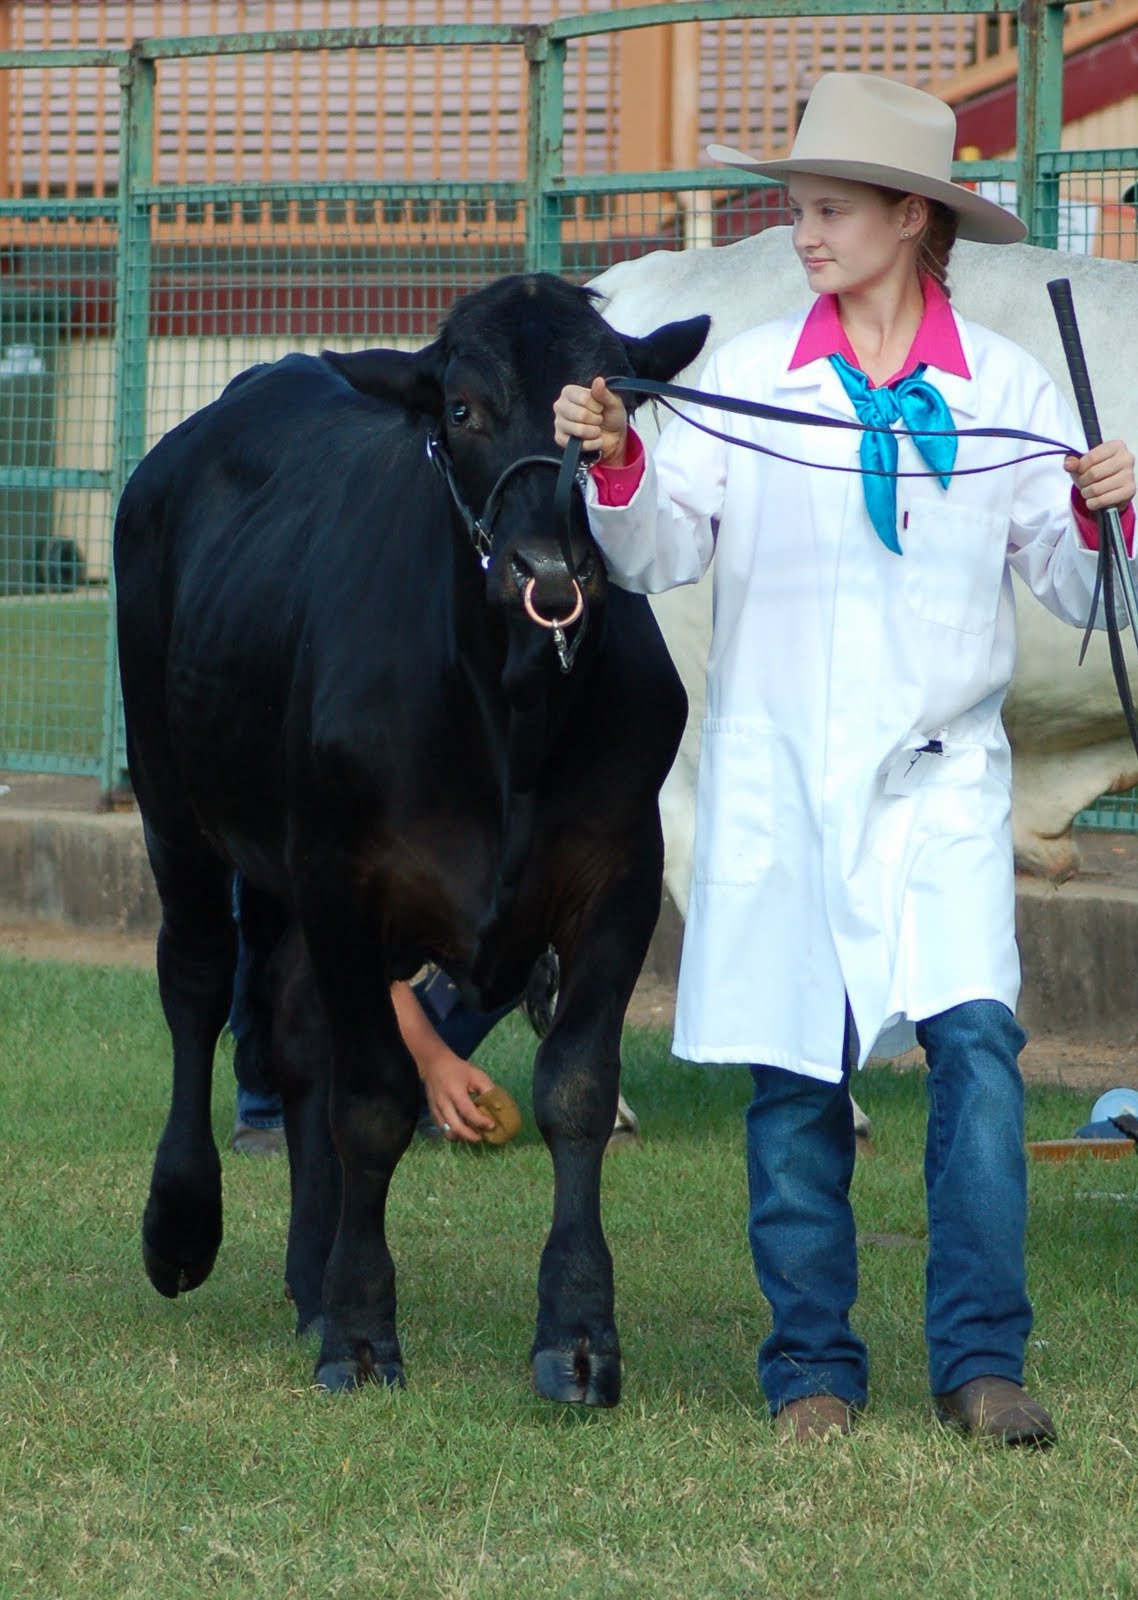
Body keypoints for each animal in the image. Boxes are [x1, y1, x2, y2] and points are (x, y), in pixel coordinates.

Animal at [114, 272, 709, 1403]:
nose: (547, 569)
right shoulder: (347, 880)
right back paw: (181, 1227)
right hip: (177, 809)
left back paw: (308, 1274)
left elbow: (575, 1088)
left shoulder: (620, 875)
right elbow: (375, 1100)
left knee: (292, 1031)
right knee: (197, 987)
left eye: (613, 404)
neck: (510, 715)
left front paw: (577, 1332)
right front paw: (361, 1332)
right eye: (462, 410)